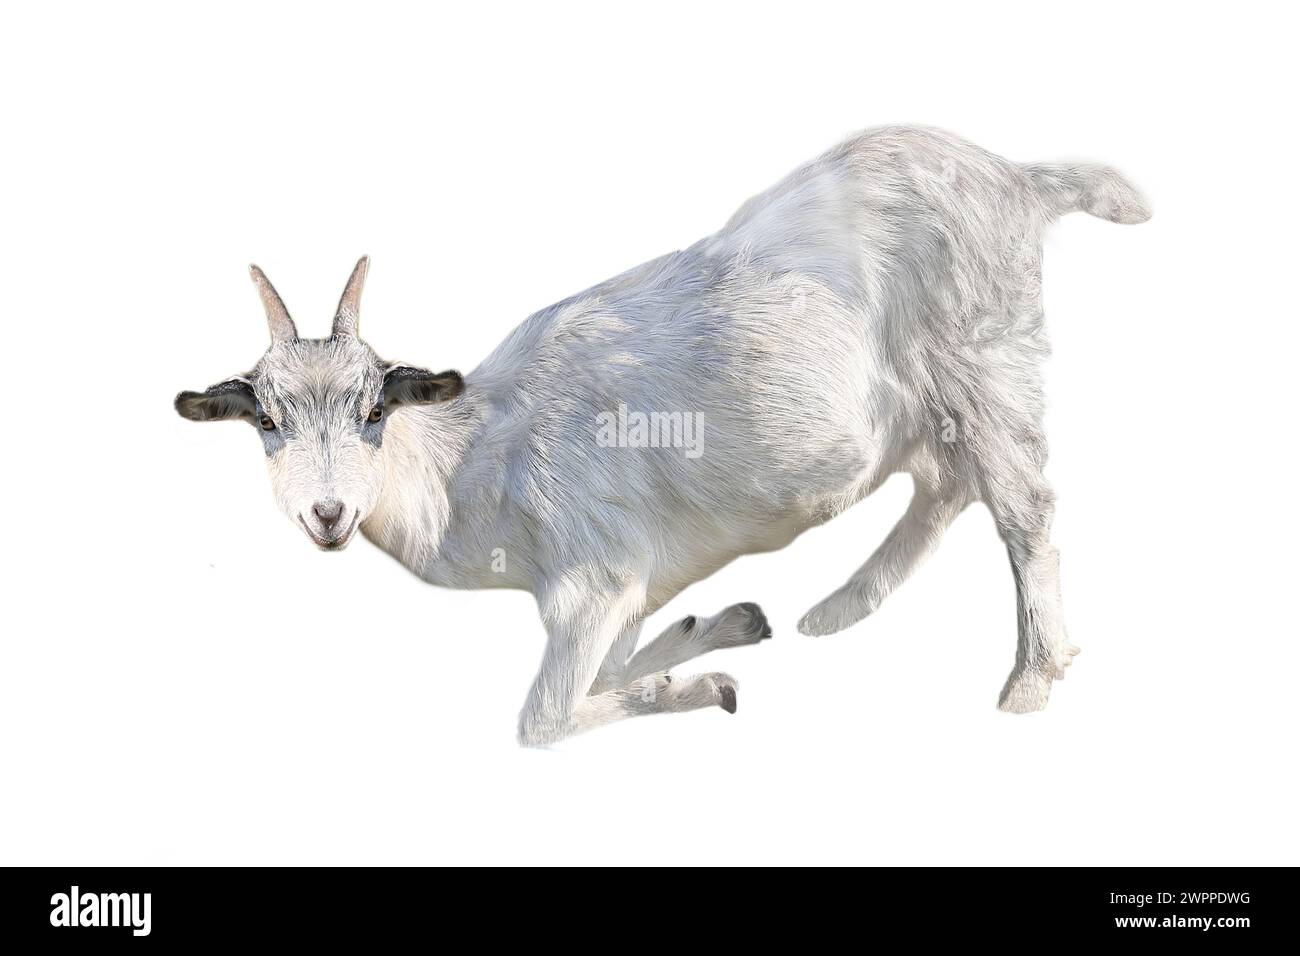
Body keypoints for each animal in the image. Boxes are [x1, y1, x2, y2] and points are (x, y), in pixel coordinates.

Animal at [175, 125, 1150, 745]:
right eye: (265, 420)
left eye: (376, 408)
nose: (329, 514)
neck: (473, 467)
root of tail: (1018, 178)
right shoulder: (630, 581)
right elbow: (614, 666)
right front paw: (715, 633)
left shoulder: (594, 574)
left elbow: (543, 719)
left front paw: (700, 686)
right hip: (927, 398)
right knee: (949, 482)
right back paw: (836, 609)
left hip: (987, 357)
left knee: (1022, 501)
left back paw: (1029, 681)